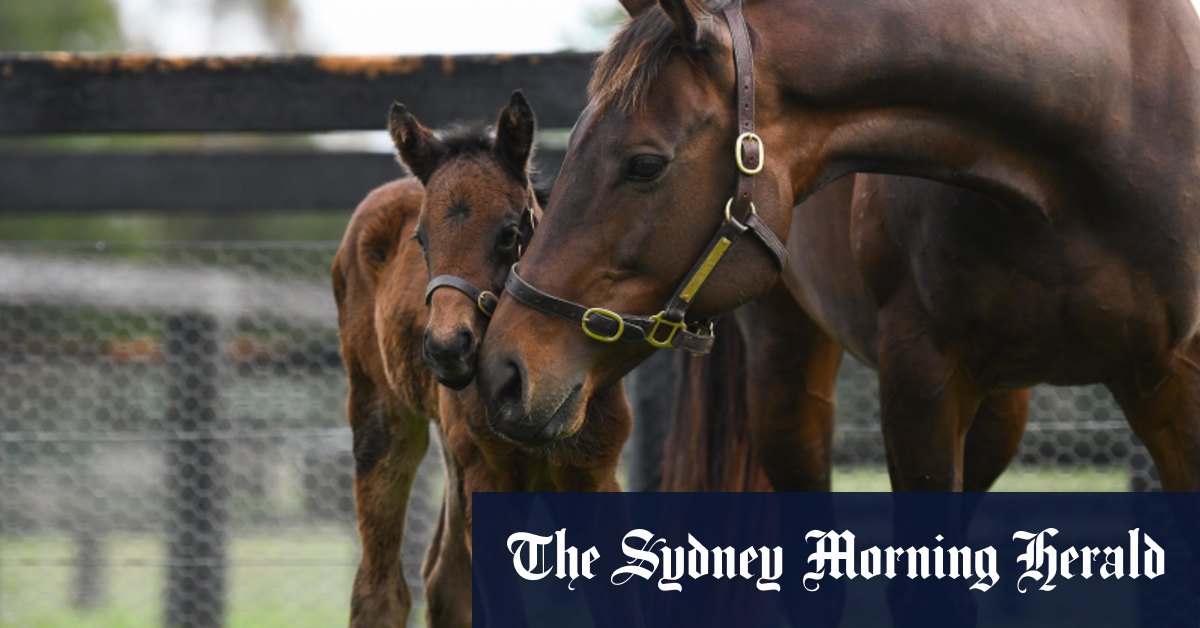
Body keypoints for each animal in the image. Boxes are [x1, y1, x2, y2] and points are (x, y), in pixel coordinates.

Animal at [333, 93, 630, 627]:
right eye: (422, 239)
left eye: (510, 233)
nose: (449, 347)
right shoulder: (489, 477)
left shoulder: (592, 475)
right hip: (382, 421)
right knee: (382, 588)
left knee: (443, 578)